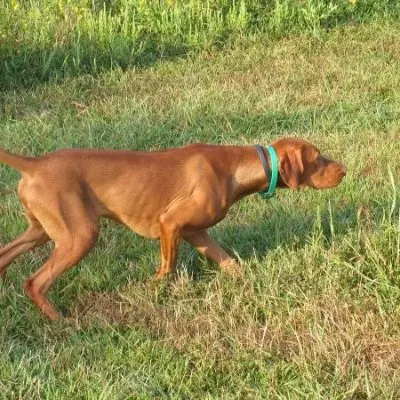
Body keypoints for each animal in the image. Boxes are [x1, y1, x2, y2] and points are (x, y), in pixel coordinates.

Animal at [0, 139, 346, 320]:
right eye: (318, 159)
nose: (344, 170)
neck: (237, 167)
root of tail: (34, 164)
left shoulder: (196, 233)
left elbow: (231, 263)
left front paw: (251, 282)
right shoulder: (171, 224)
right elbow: (167, 268)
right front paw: (149, 289)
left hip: (41, 231)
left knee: (6, 255)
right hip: (80, 236)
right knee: (35, 282)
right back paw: (62, 322)